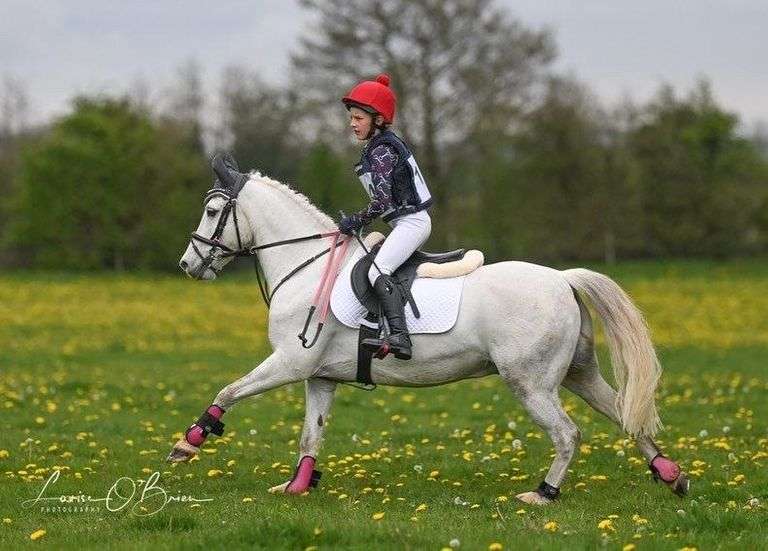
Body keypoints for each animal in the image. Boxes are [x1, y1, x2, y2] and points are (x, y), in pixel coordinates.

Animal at [169, 156, 689, 504]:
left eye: (213, 212)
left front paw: (188, 442)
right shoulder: (320, 376)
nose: (188, 265)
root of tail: (562, 279)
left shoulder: (290, 363)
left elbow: (229, 390)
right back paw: (671, 474)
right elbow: (309, 436)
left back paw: (542, 494)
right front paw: (297, 486)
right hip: (578, 373)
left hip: (530, 382)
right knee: (625, 414)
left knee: (568, 434)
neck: (307, 265)